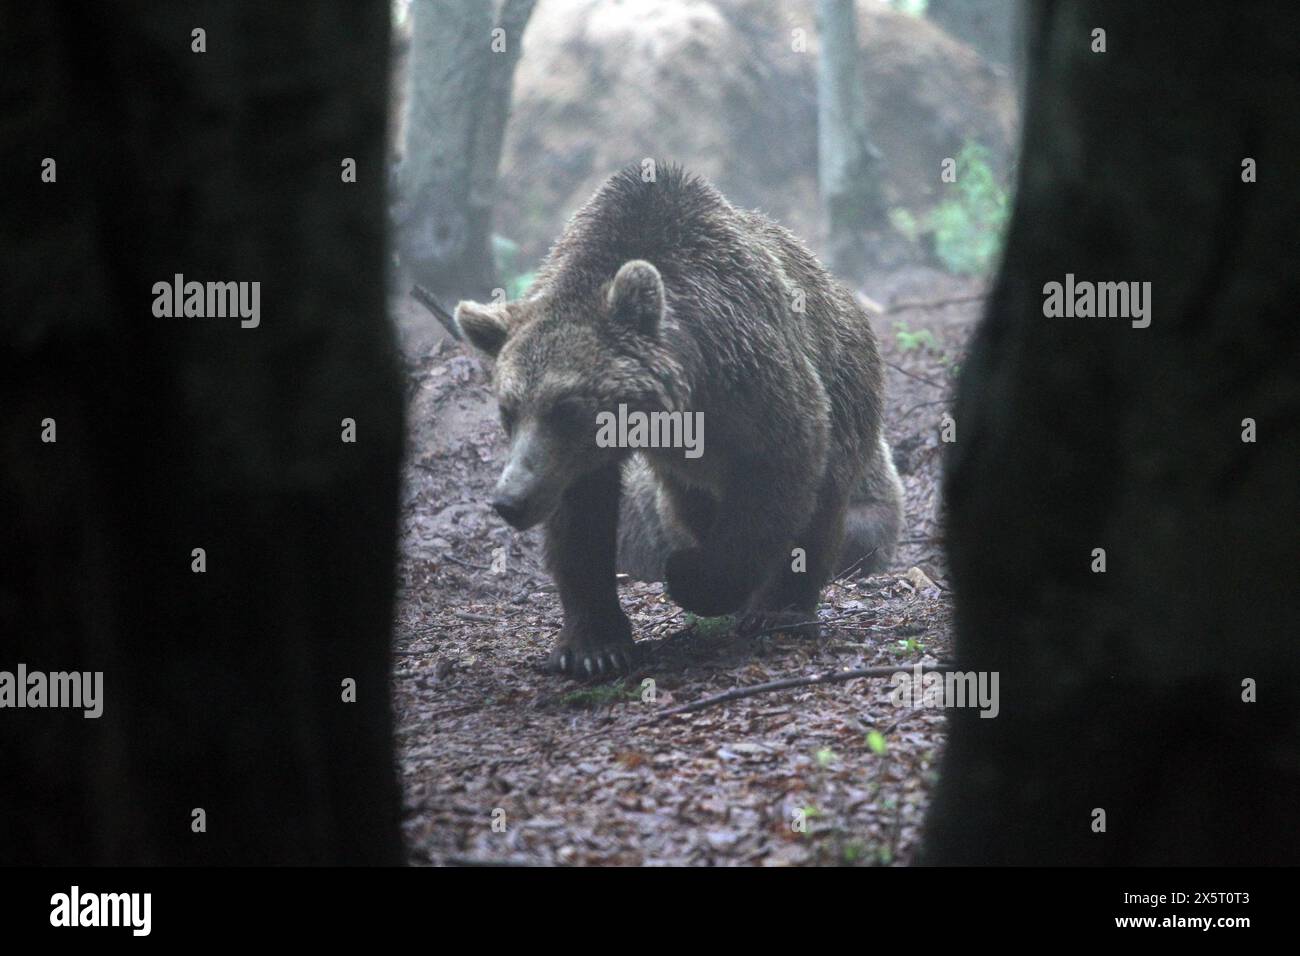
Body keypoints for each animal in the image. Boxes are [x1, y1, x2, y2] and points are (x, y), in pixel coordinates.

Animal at [454, 163, 903, 676]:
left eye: (566, 408)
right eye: (507, 411)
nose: (511, 499)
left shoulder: (752, 378)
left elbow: (778, 470)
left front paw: (693, 576)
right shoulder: (578, 461)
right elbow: (581, 523)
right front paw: (594, 645)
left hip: (846, 384)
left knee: (827, 501)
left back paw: (780, 609)